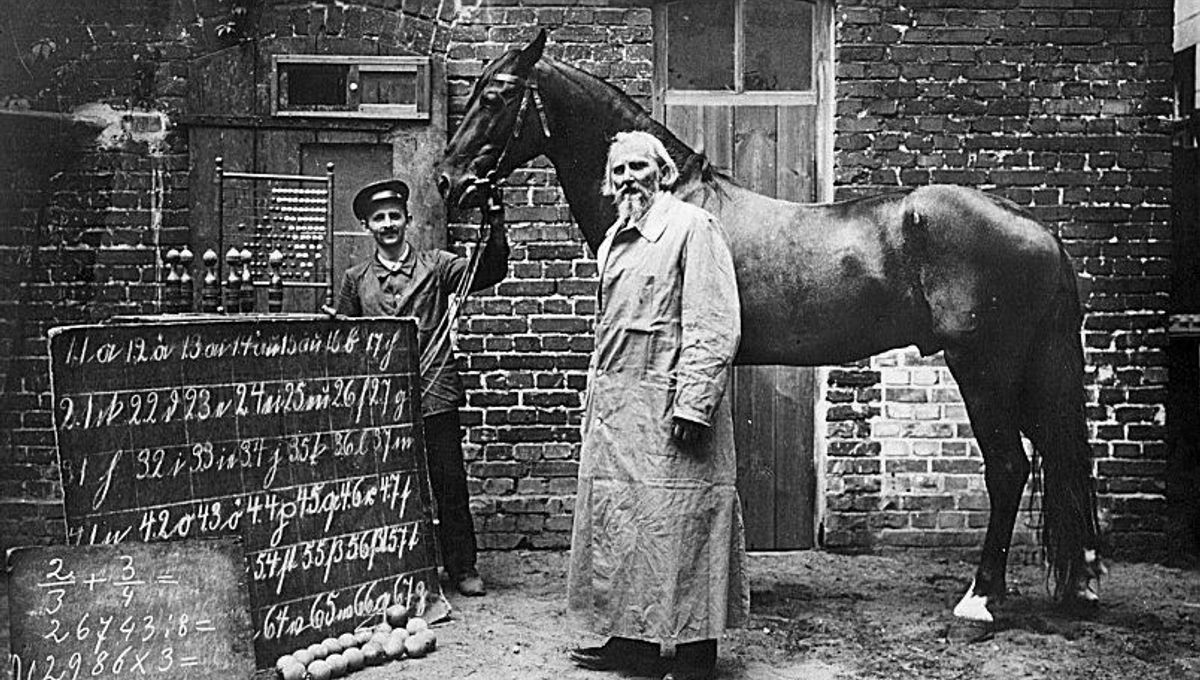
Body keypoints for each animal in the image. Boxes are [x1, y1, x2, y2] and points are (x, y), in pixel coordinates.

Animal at [435, 30, 1105, 622]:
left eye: (494, 97)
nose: (449, 180)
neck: (676, 207)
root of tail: (1039, 230)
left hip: (984, 370)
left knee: (1010, 467)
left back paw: (981, 597)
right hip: (1027, 373)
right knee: (1059, 455)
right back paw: (1081, 582)